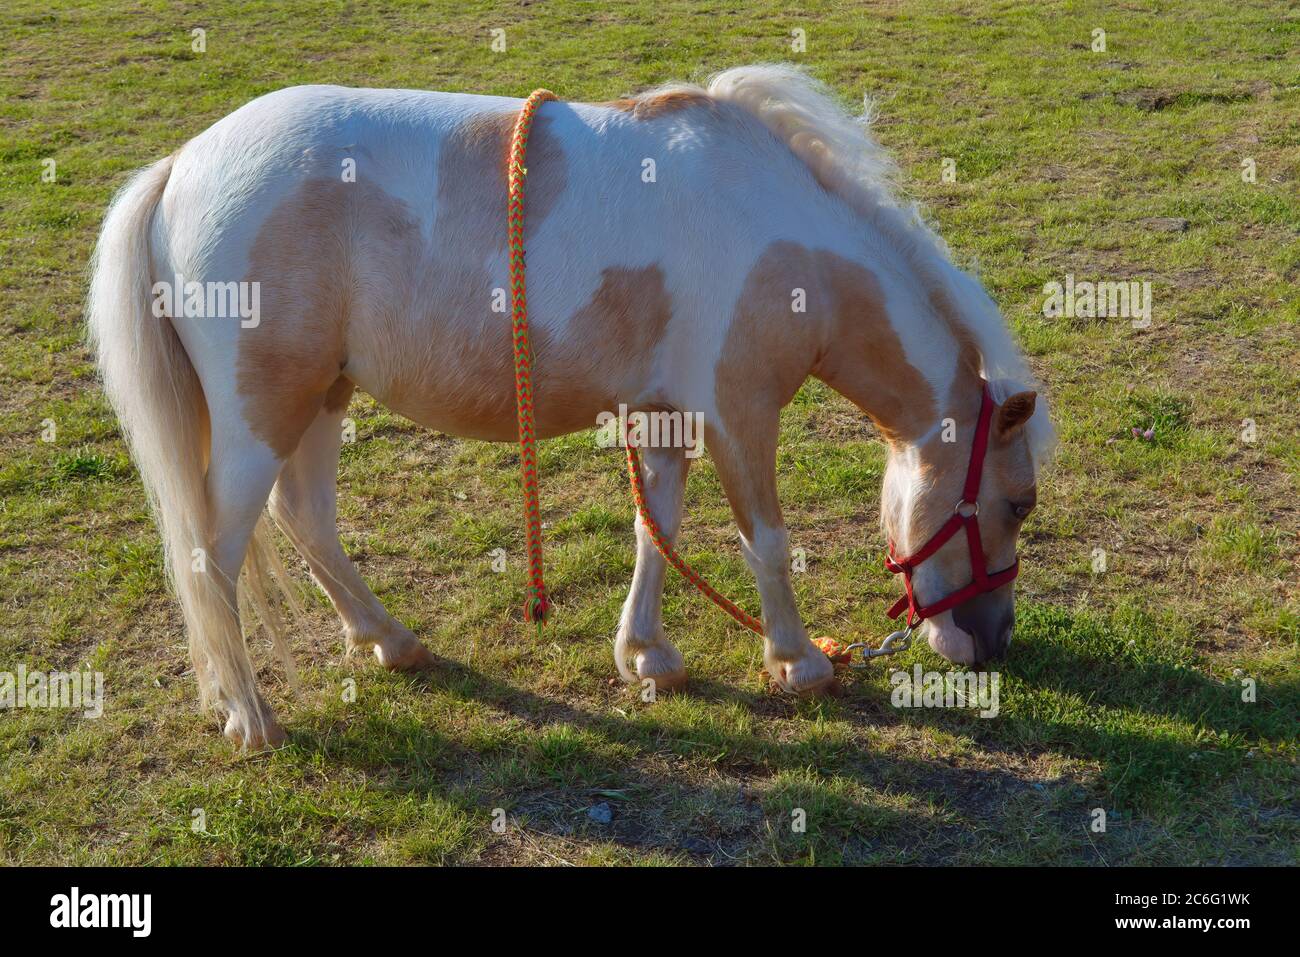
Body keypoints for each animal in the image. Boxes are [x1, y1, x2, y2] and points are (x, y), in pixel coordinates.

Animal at [88, 65, 1054, 749]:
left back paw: (388, 640)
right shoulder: (739, 413)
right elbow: (766, 543)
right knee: (213, 560)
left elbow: (656, 530)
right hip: (260, 422)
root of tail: (183, 166)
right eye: (1017, 503)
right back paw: (251, 717)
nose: (994, 641)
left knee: (306, 519)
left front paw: (647, 657)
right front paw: (799, 661)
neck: (783, 238)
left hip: (323, 396)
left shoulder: (665, 417)